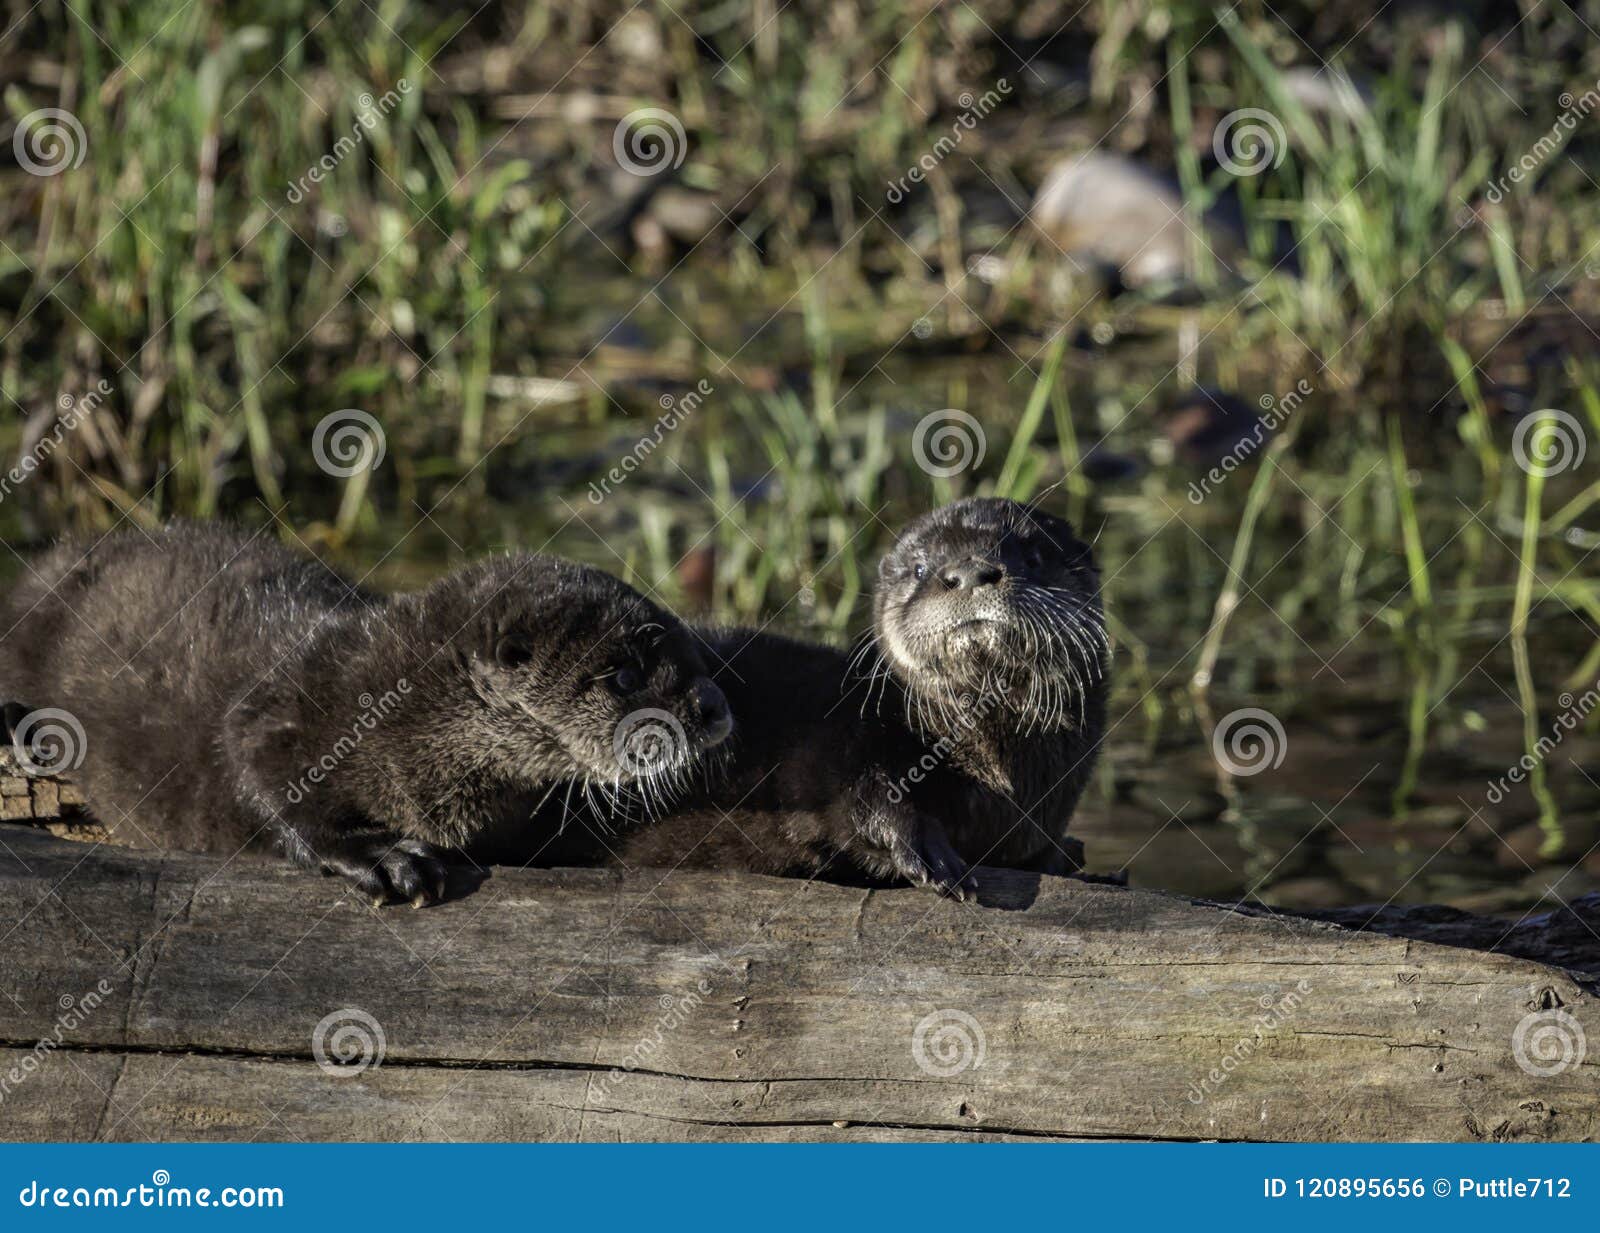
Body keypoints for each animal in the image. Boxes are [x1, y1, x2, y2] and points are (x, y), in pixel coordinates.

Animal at [0, 523, 731, 904]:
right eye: (626, 675)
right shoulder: (283, 704)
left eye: (693, 652)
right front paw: (380, 855)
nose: (713, 707)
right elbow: (250, 764)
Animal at [609, 497, 1109, 895]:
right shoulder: (834, 739)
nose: (967, 573)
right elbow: (854, 795)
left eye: (1035, 554)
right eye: (920, 569)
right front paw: (923, 847)